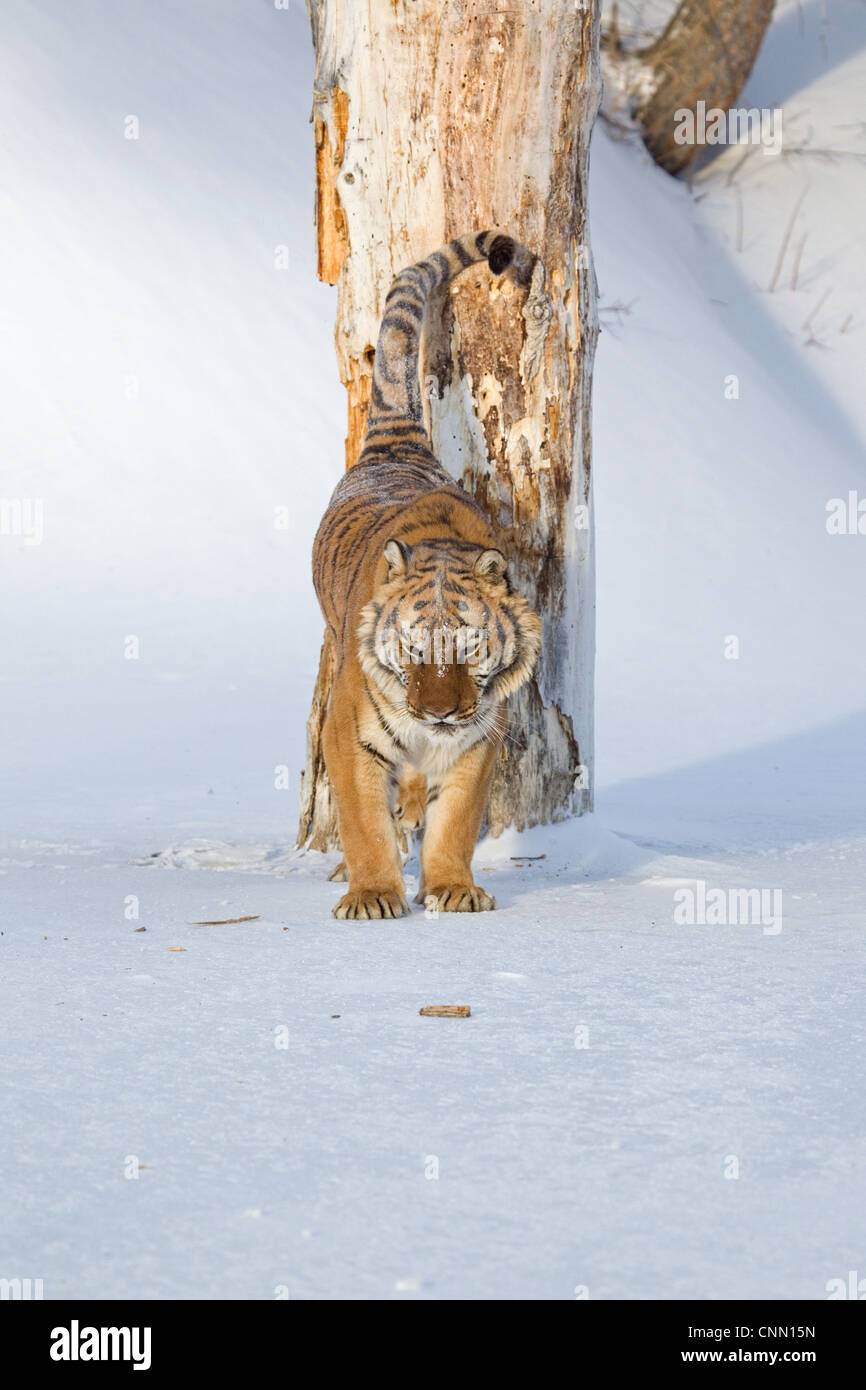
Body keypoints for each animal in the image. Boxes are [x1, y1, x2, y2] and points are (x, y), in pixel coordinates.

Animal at [312, 230, 543, 919]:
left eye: (469, 649)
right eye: (414, 650)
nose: (439, 713)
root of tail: (399, 445)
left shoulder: (479, 739)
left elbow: (456, 821)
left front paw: (452, 889)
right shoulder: (349, 736)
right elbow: (363, 821)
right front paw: (372, 896)